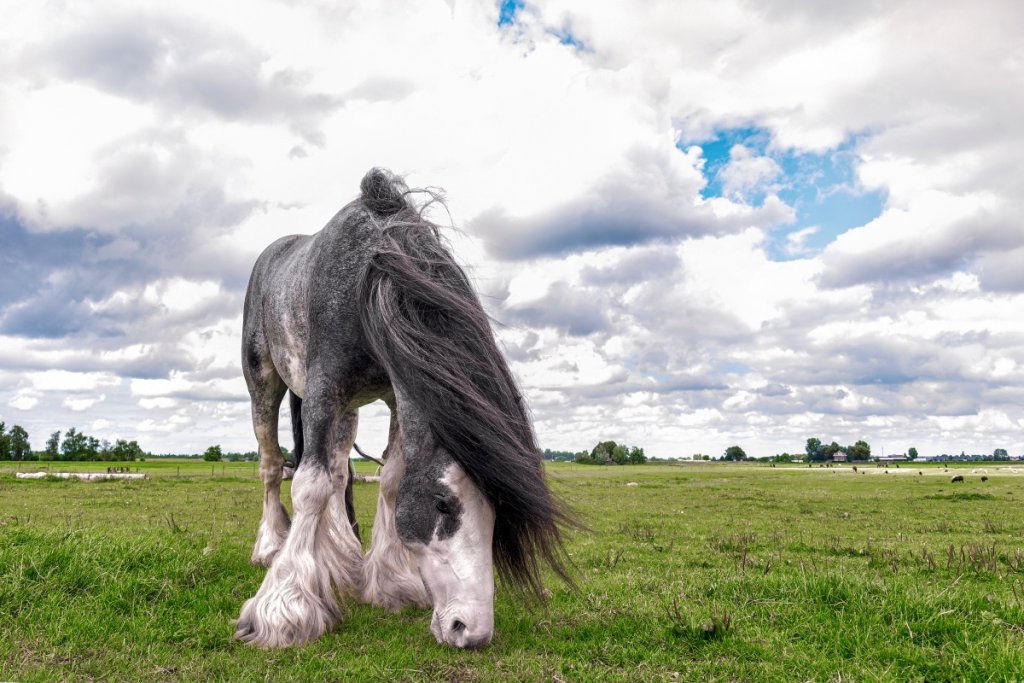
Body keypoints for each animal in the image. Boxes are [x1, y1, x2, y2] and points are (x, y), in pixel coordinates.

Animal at [234, 169, 569, 649]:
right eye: (443, 503)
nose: (471, 630)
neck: (366, 278)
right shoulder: (323, 389)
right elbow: (308, 485)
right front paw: (285, 608)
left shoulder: (394, 395)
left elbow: (389, 480)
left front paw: (390, 582)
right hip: (265, 385)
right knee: (271, 464)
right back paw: (270, 548)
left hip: (349, 410)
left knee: (338, 471)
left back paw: (343, 554)